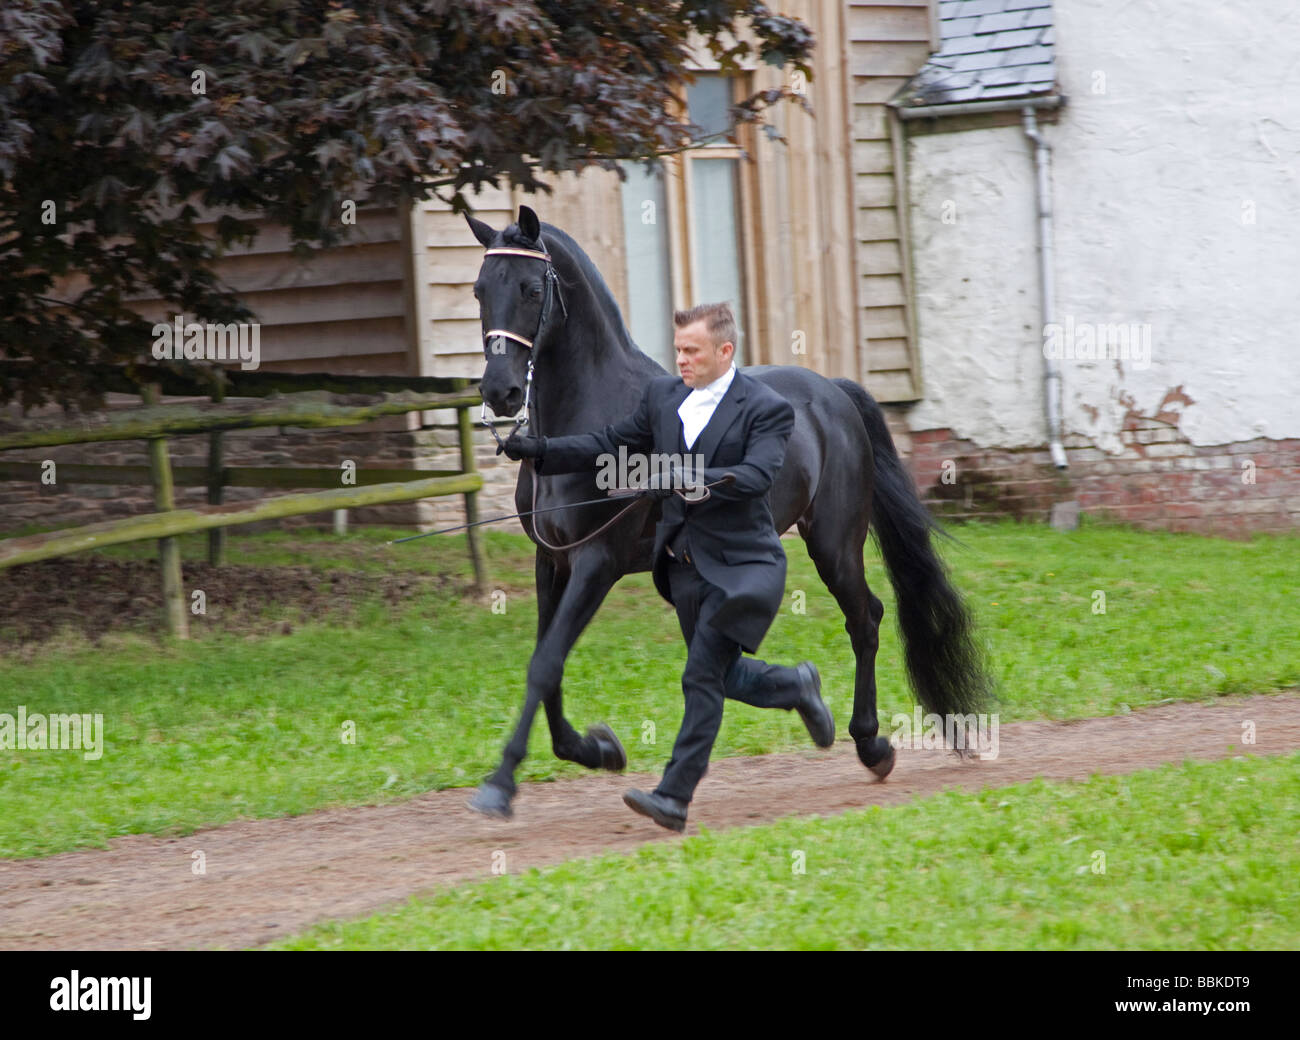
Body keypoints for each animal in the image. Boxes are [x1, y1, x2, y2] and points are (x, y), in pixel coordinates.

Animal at [463, 204, 990, 818]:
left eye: (529, 288)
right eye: (479, 289)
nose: (499, 392)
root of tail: (833, 392)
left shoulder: (597, 563)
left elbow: (546, 663)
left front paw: (500, 785)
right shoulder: (552, 562)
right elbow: (546, 667)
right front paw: (598, 749)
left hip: (835, 543)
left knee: (866, 618)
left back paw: (870, 743)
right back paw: (814, 704)